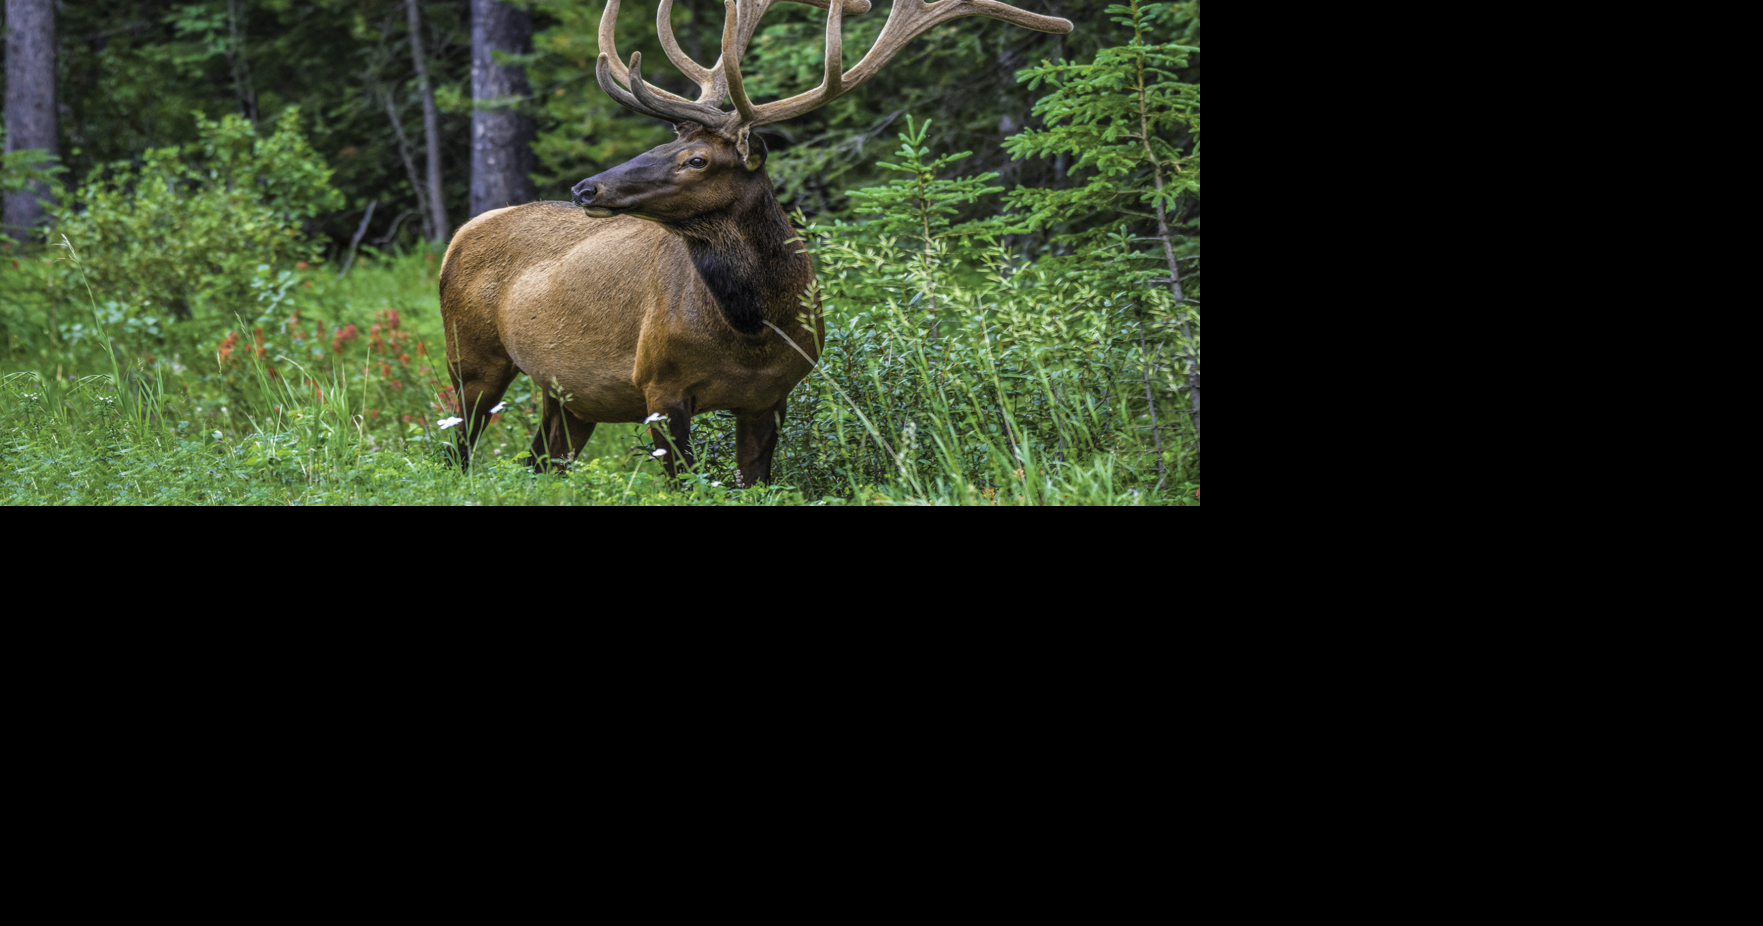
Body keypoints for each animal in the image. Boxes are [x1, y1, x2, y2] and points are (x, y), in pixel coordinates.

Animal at [438, 0, 1072, 486]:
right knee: (453, 452)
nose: (585, 187)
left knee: (538, 463)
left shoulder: (773, 394)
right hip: (471, 359)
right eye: (664, 145)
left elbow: (754, 480)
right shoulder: (658, 385)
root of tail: (461, 232)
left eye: (695, 158)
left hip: (568, 394)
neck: (751, 331)